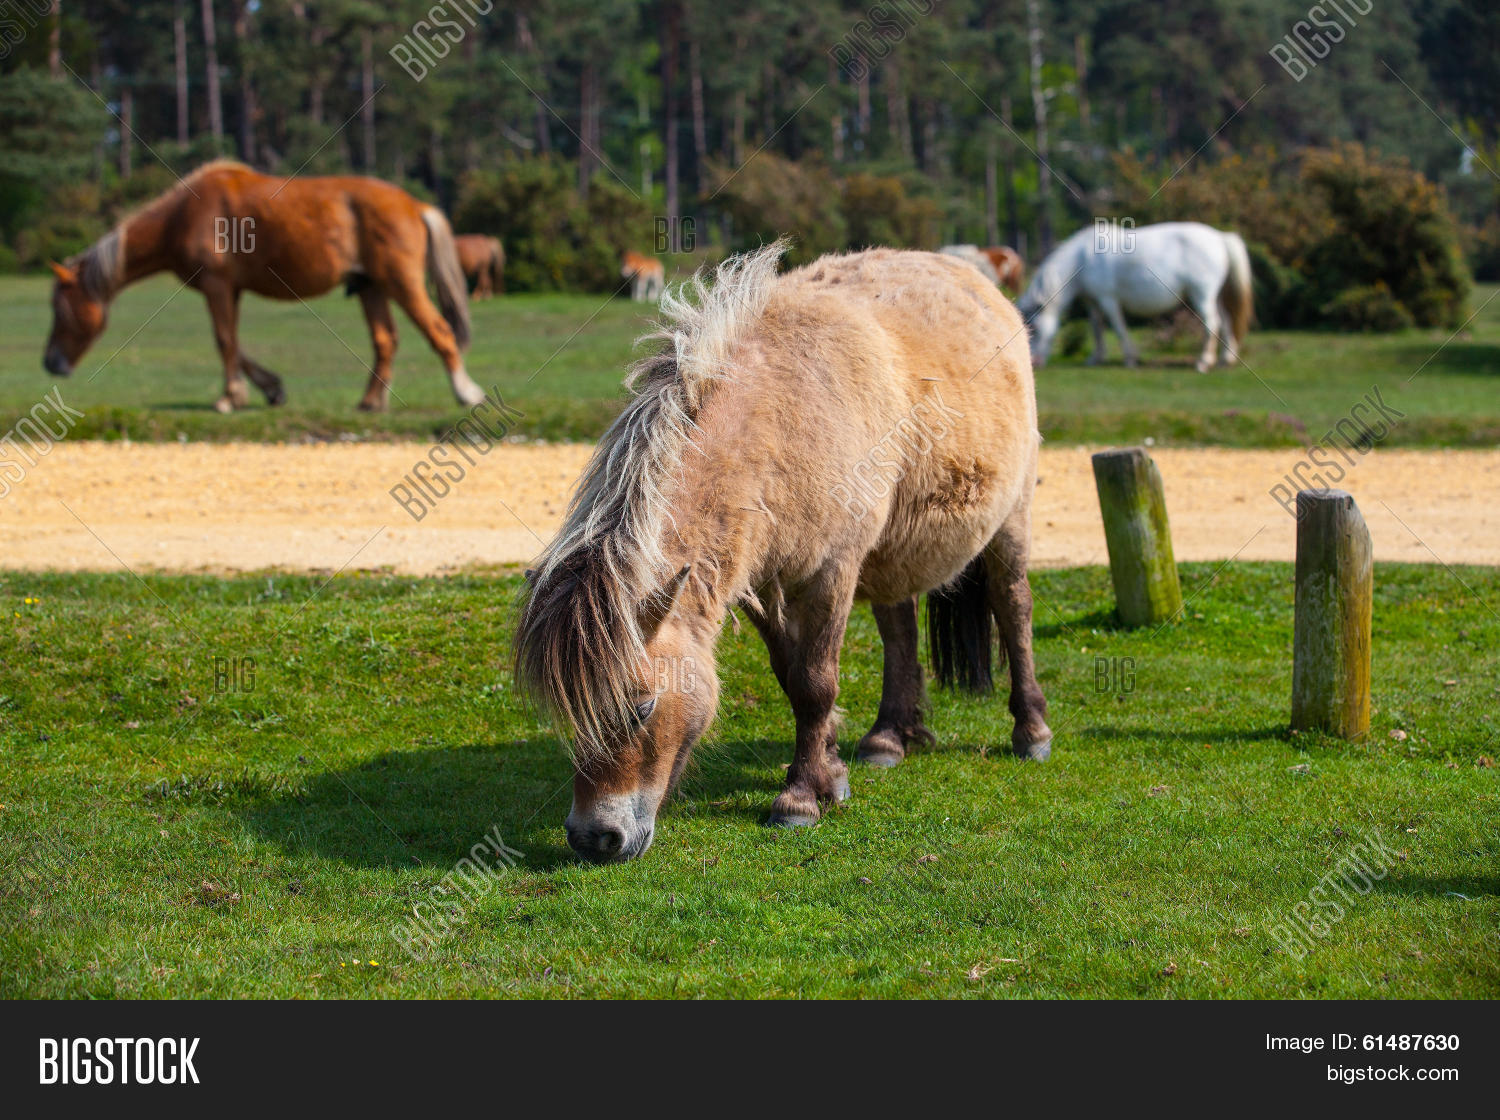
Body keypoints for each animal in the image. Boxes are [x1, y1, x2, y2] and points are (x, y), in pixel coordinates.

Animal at [43, 159, 481, 413]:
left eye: (60, 310)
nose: (50, 362)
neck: (184, 213)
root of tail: (414, 205)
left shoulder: (217, 287)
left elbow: (224, 342)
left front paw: (230, 397)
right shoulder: (230, 291)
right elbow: (236, 344)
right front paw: (270, 389)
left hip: (402, 283)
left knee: (440, 331)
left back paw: (465, 393)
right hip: (371, 287)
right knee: (385, 340)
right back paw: (371, 401)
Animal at [515, 241, 1052, 862]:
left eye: (641, 707)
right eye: (569, 714)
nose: (594, 838)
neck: (780, 417)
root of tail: (976, 278)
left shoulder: (832, 572)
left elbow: (816, 682)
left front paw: (799, 799)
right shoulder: (758, 583)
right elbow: (790, 676)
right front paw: (829, 773)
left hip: (1011, 522)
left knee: (1013, 608)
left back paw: (1031, 731)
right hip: (891, 552)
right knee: (899, 629)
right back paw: (890, 737)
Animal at [1016, 220, 1252, 373]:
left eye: (1033, 328)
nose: (1034, 362)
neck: (1082, 259)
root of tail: (1220, 238)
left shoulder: (1108, 300)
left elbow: (1118, 328)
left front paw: (1130, 358)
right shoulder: (1093, 303)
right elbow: (1097, 328)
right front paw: (1096, 358)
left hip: (1202, 295)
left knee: (1212, 323)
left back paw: (1203, 361)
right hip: (1216, 297)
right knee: (1226, 321)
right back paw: (1226, 359)